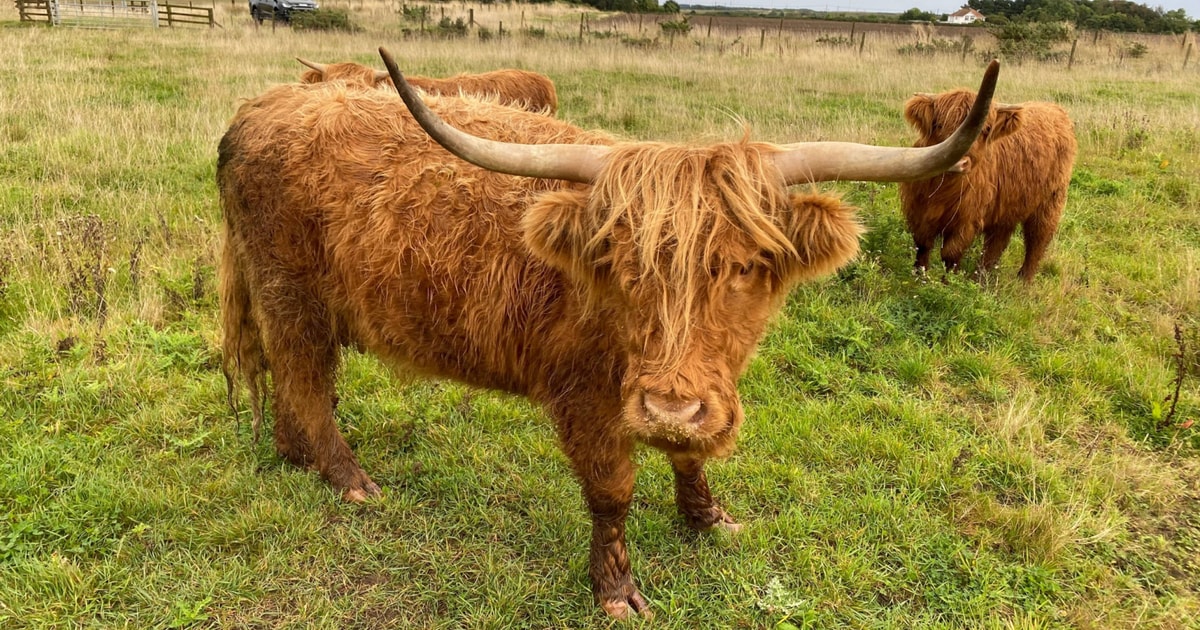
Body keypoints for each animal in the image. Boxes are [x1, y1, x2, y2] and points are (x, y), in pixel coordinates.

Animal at [218, 48, 999, 618]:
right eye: (625, 264)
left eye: (745, 267)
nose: (668, 404)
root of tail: (264, 106)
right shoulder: (585, 398)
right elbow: (612, 491)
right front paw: (617, 591)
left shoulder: (700, 387)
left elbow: (690, 454)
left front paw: (708, 519)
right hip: (291, 294)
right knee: (305, 379)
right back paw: (348, 479)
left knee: (292, 381)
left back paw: (294, 455)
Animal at [898, 87, 1076, 282]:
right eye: (939, 124)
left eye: (986, 129)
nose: (959, 162)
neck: (942, 190)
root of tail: (1055, 109)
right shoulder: (918, 211)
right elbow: (922, 245)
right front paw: (918, 278)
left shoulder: (967, 220)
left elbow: (951, 254)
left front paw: (948, 284)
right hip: (1007, 206)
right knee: (997, 242)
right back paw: (982, 279)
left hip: (1050, 202)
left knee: (1036, 241)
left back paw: (1023, 282)